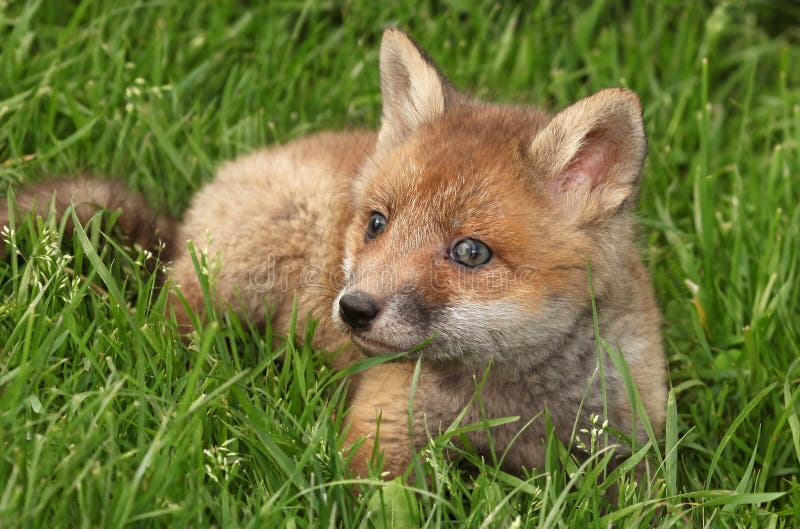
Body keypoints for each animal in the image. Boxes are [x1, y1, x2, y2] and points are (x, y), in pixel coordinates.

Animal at [1, 28, 667, 478]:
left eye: (469, 251)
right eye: (376, 223)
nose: (353, 309)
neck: (509, 400)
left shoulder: (630, 449)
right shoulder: (383, 428)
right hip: (239, 275)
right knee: (169, 322)